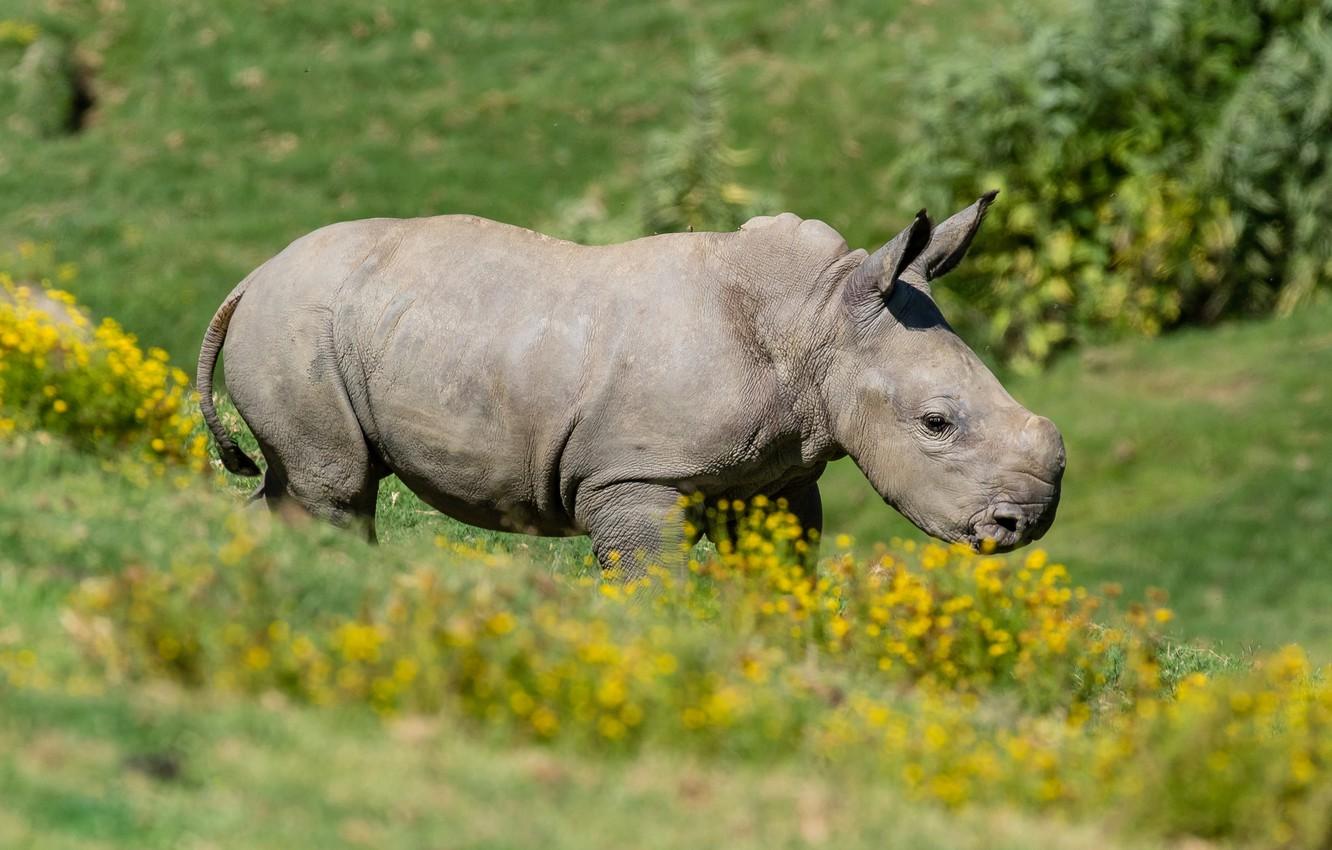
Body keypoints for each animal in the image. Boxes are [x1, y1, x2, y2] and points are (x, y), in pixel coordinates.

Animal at [198, 192, 1065, 573]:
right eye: (936, 424)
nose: (1024, 525)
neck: (818, 325)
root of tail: (253, 274)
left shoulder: (779, 477)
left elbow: (779, 570)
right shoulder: (635, 475)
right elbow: (655, 579)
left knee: (296, 480)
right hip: (300, 323)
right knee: (336, 484)